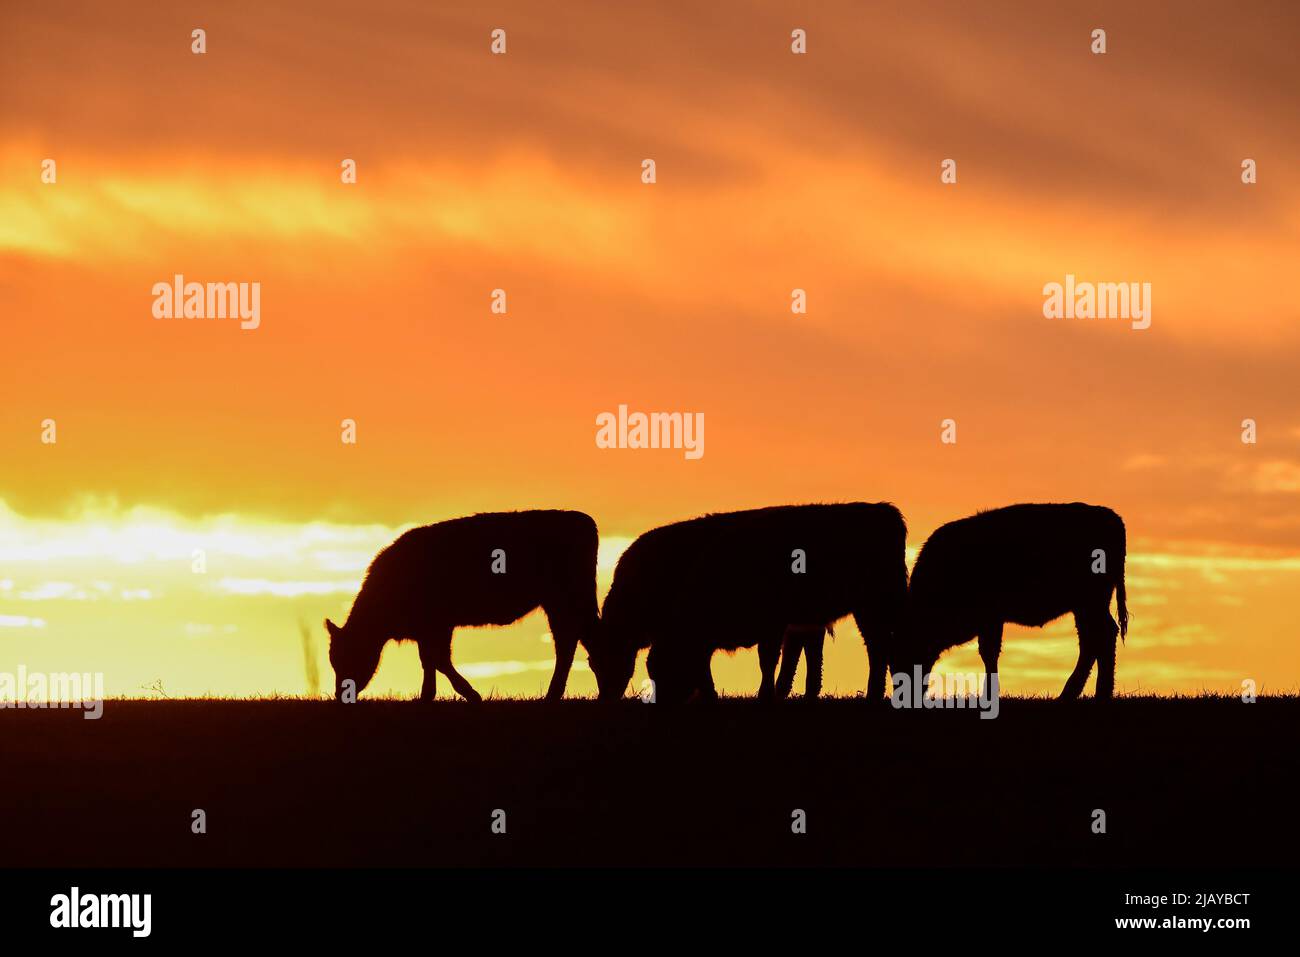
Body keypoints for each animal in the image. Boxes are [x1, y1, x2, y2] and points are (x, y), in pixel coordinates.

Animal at [325, 510, 599, 702]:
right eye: (333, 659)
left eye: (348, 655)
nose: (341, 695)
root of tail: (582, 519)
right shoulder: (426, 631)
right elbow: (429, 661)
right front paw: (426, 696)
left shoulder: (438, 626)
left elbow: (439, 660)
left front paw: (471, 694)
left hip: (566, 600)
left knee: (569, 643)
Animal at [590, 503, 908, 703]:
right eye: (593, 663)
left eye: (669, 669)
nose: (606, 697)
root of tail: (883, 510)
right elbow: (707, 668)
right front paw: (711, 695)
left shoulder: (772, 624)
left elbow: (767, 660)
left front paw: (763, 695)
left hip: (874, 605)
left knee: (878, 648)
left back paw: (875, 694)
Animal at [891, 502, 1129, 700]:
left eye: (901, 655)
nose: (903, 697)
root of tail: (1112, 518)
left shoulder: (990, 618)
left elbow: (989, 652)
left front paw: (988, 695)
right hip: (1085, 606)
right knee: (1095, 639)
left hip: (1090, 604)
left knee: (1100, 636)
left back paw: (1093, 694)